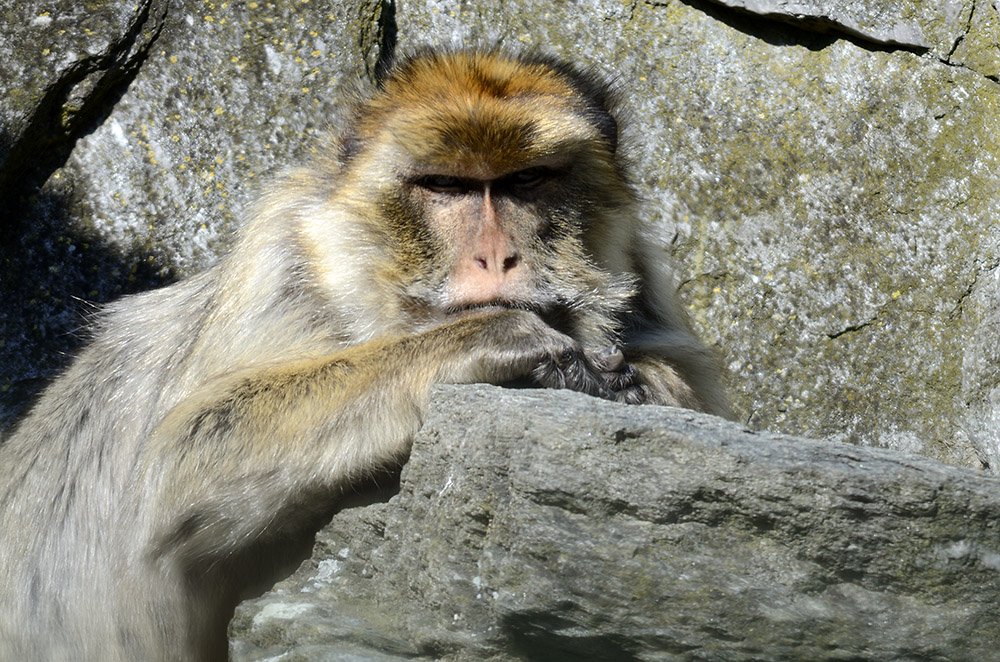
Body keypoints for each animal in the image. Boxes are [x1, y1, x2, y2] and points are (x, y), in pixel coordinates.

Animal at [0, 48, 727, 661]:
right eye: (447, 187)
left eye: (526, 181)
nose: (497, 257)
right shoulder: (280, 284)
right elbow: (181, 454)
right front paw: (495, 340)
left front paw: (635, 381)